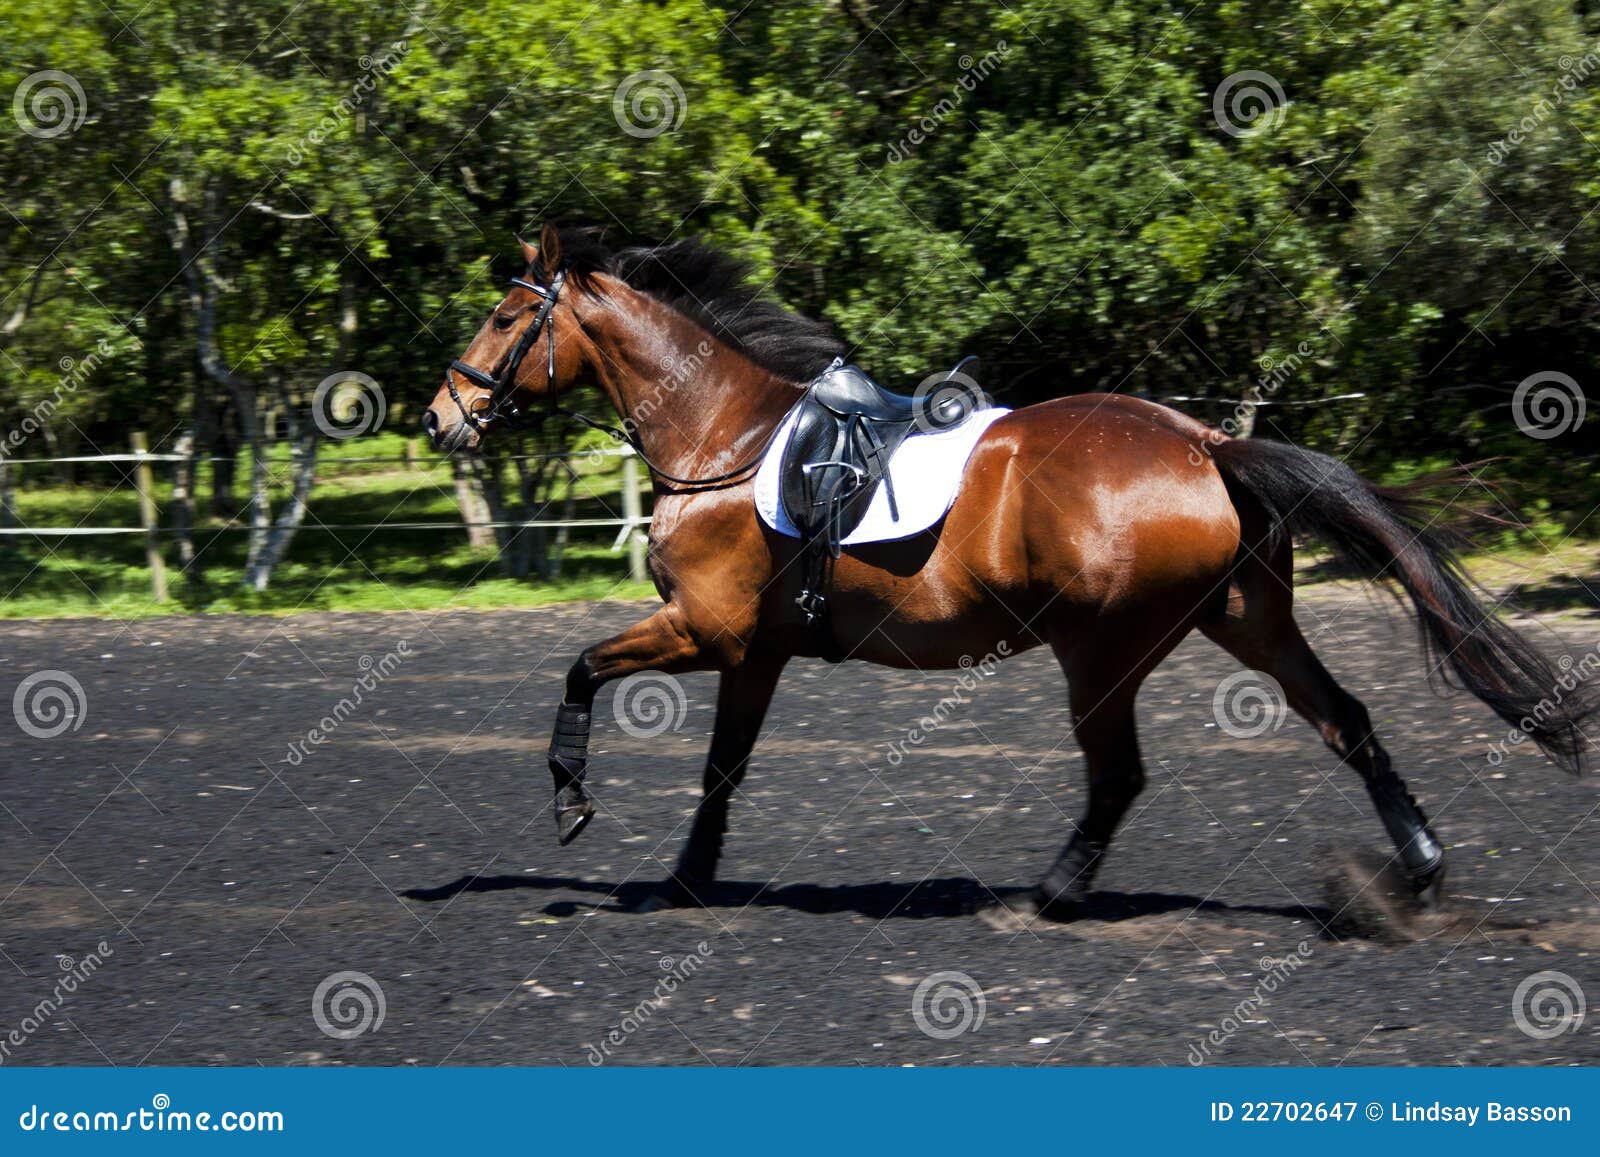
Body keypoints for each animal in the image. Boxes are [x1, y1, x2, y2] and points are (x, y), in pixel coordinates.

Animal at [423, 223, 1591, 919]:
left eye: (503, 314)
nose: (441, 417)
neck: (728, 443)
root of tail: (1206, 444)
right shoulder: (753, 652)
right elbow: (722, 766)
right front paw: (687, 877)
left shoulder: (705, 632)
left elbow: (580, 666)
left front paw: (573, 804)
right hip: (1247, 621)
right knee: (1343, 719)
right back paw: (1421, 866)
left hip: (1100, 650)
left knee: (1119, 774)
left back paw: (1056, 889)